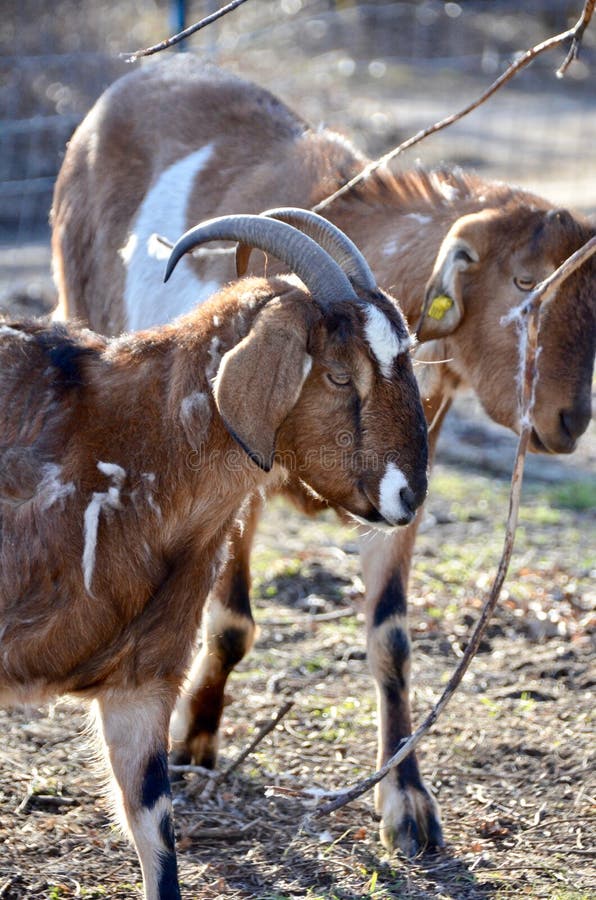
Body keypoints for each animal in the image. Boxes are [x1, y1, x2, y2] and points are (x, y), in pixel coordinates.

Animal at [51, 57, 596, 856]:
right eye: (527, 284)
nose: (570, 421)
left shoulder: (399, 484)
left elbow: (391, 636)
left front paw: (408, 805)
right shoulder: (237, 476)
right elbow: (231, 621)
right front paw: (192, 743)